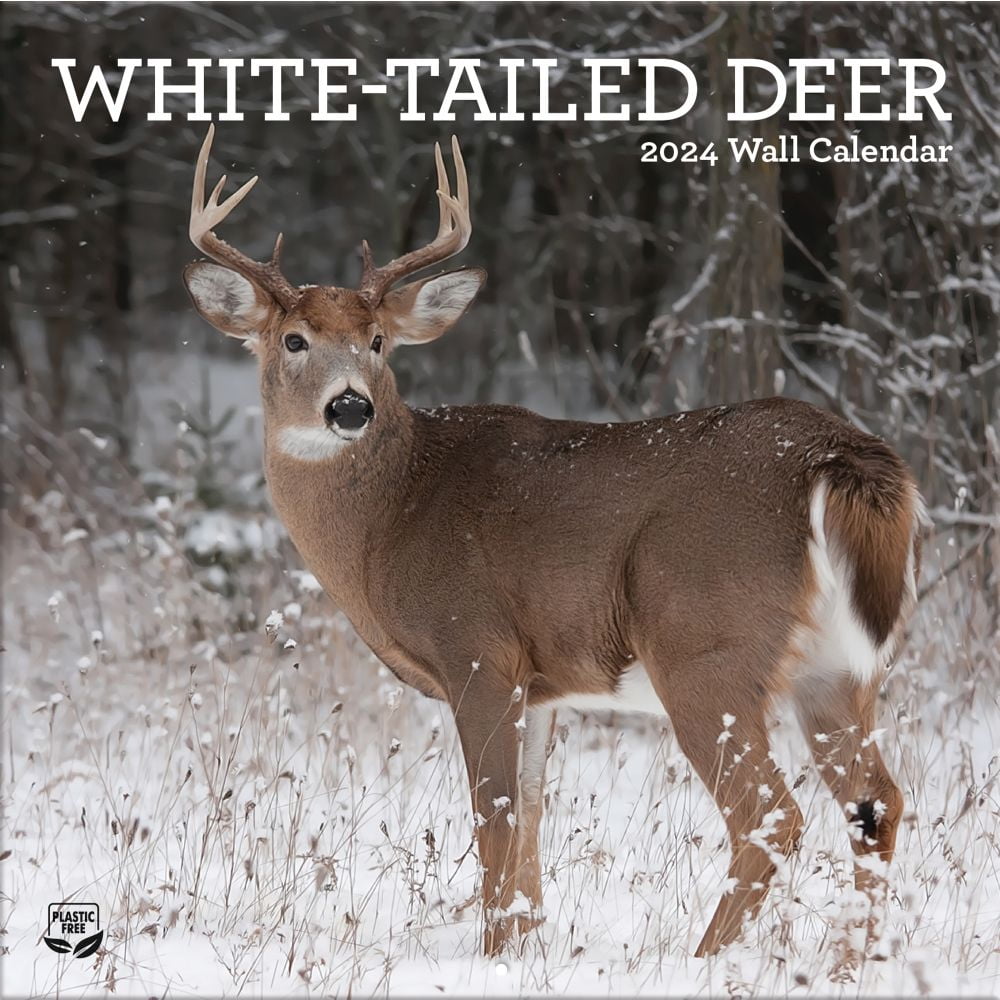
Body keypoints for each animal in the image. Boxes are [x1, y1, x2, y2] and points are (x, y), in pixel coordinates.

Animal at [183, 125, 923, 958]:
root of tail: (835, 456)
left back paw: (703, 959)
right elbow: (533, 816)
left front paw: (490, 953)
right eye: (294, 340)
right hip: (838, 668)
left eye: (377, 340)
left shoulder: (476, 649)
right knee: (876, 802)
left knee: (769, 815)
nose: (349, 407)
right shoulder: (538, 683)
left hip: (705, 648)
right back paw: (851, 962)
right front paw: (522, 940)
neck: (391, 517)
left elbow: (496, 819)